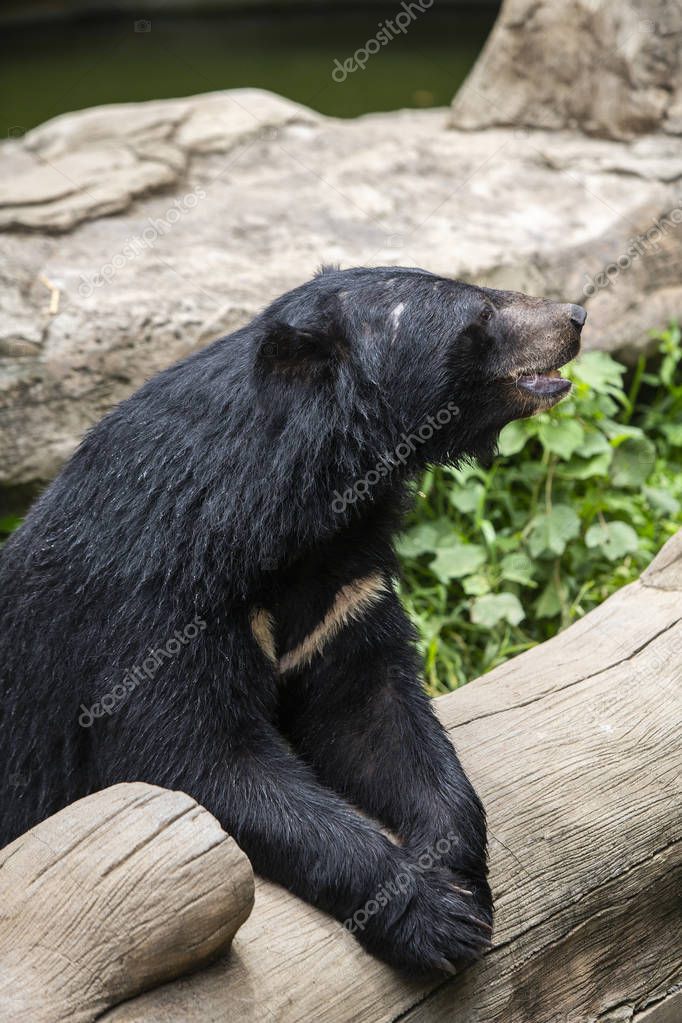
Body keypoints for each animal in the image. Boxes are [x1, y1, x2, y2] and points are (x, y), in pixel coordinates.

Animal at [0, 265, 585, 974]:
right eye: (479, 313)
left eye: (483, 291)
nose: (575, 316)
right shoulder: (153, 609)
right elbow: (200, 759)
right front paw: (434, 917)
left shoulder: (343, 593)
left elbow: (373, 715)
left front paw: (458, 868)